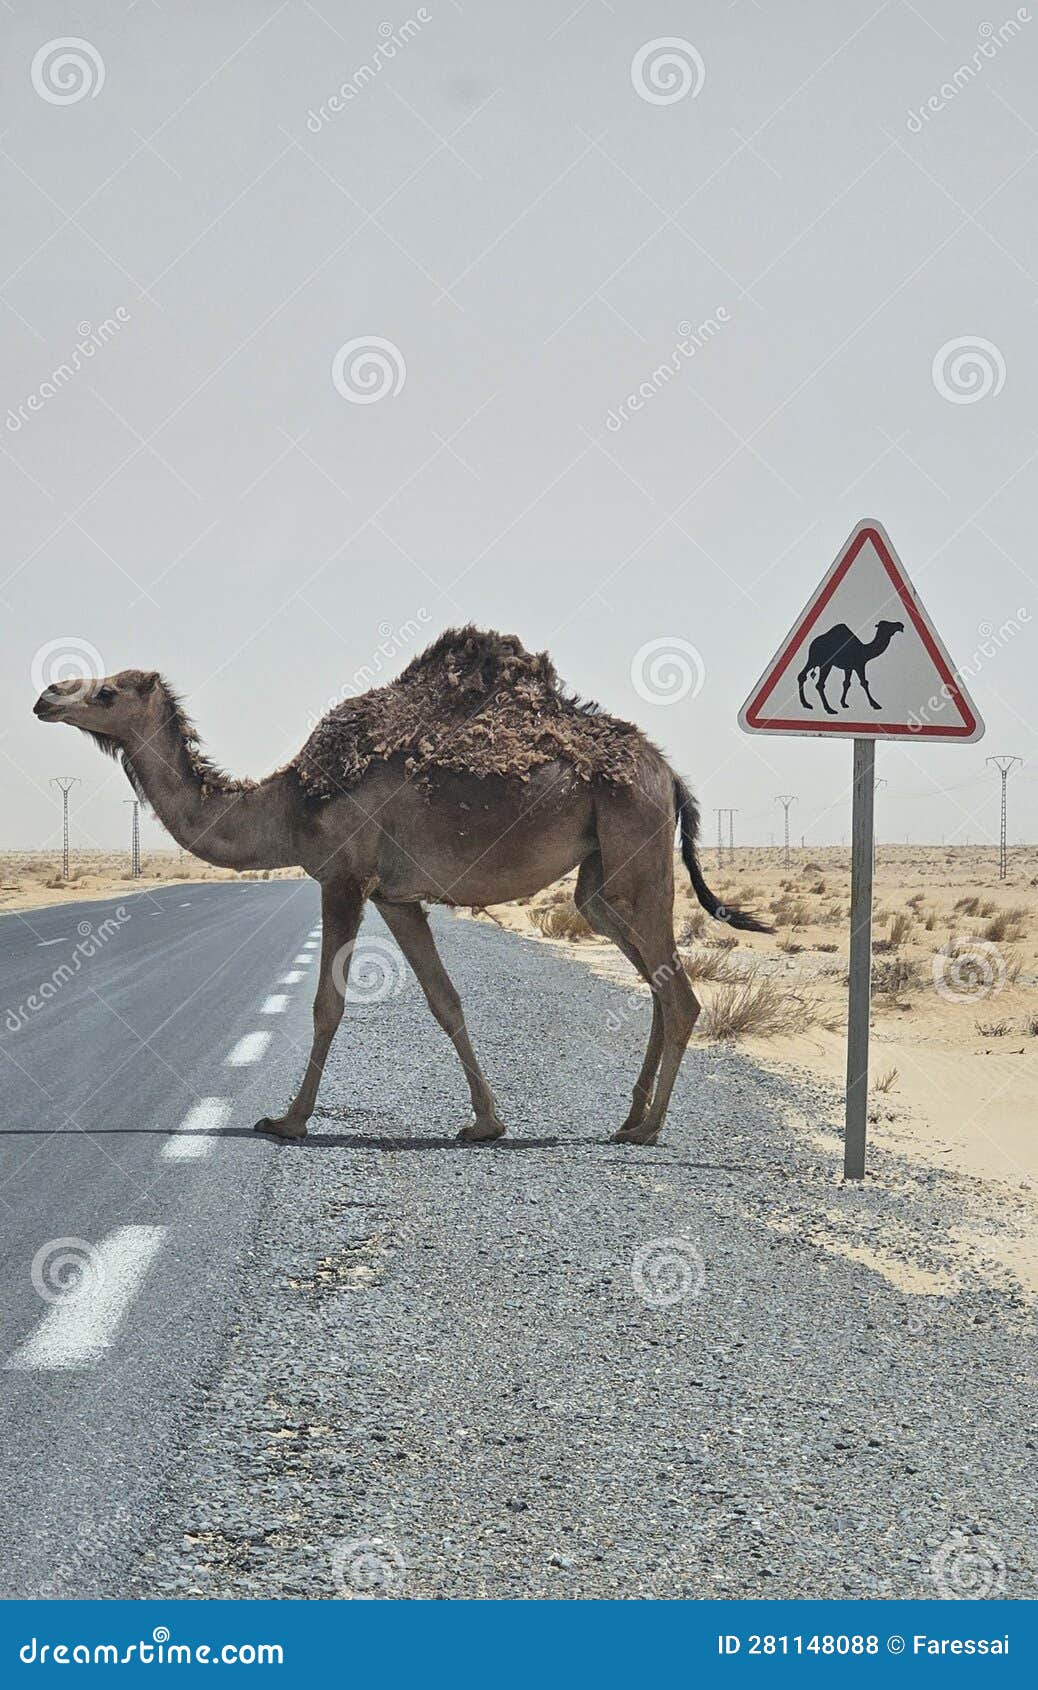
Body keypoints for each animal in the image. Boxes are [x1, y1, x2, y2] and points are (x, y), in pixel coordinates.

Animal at [33, 628, 768, 1147]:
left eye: (107, 693)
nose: (46, 695)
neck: (289, 804)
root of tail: (670, 775)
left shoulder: (345, 877)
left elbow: (327, 1006)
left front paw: (289, 1120)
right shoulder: (397, 895)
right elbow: (446, 1001)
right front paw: (486, 1122)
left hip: (635, 842)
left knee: (678, 995)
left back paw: (648, 1128)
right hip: (602, 875)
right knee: (653, 975)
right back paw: (629, 1117)